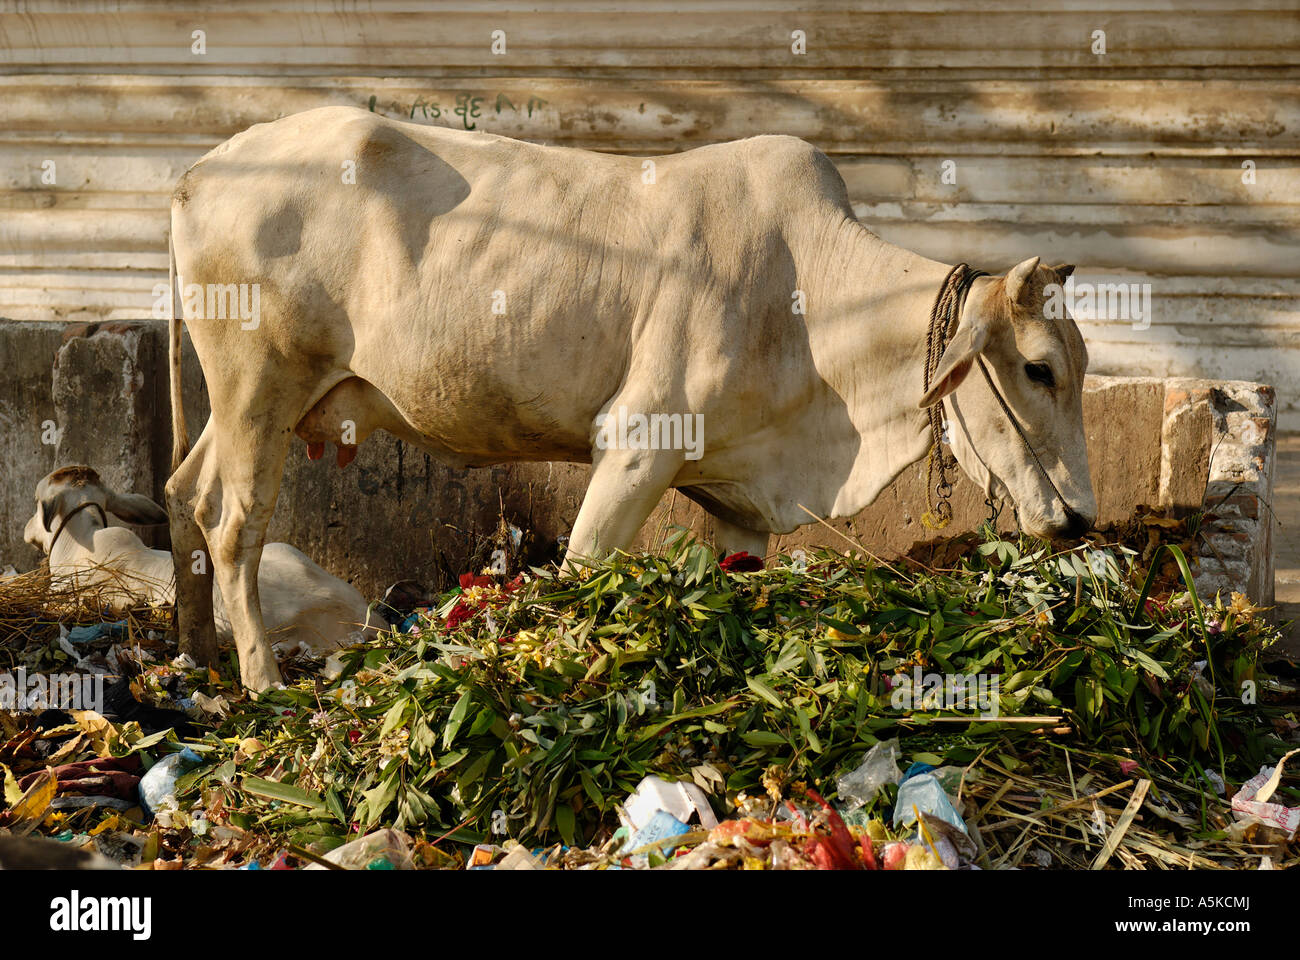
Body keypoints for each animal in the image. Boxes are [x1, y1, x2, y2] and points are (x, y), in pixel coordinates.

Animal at [165, 106, 1097, 691]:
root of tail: (201, 170)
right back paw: (260, 679)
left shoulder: (741, 507)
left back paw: (194, 658)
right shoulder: (638, 445)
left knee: (185, 495)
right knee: (236, 524)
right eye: (1039, 369)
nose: (1081, 519)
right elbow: (581, 575)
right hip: (258, 388)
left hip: (247, 404)